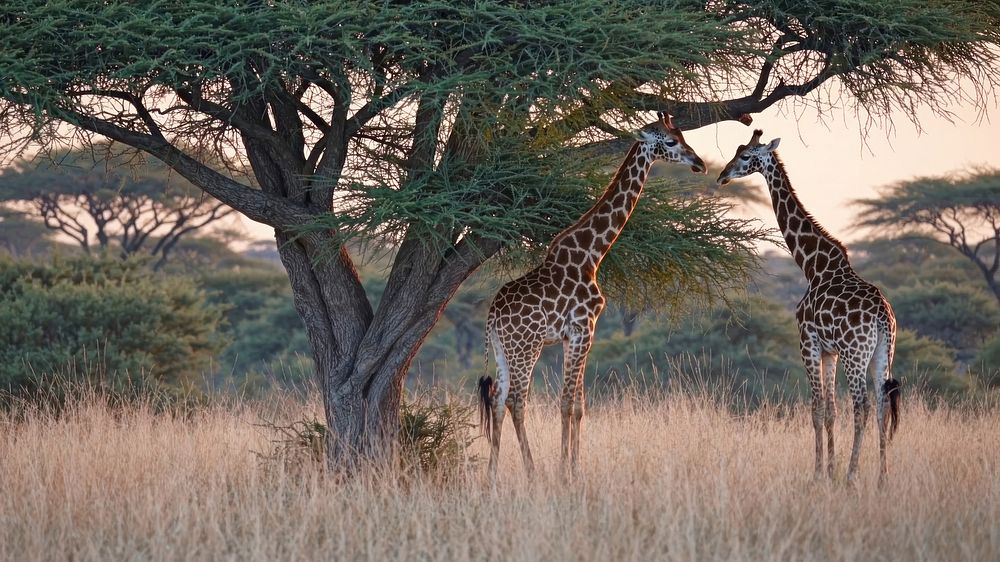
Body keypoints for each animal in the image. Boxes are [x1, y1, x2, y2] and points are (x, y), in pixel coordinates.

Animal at [478, 112, 707, 477]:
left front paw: (574, 468)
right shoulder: (584, 328)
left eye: (683, 136)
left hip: (503, 347)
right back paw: (531, 470)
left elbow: (579, 405)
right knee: (515, 399)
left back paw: (492, 476)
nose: (699, 163)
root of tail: (492, 315)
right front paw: (566, 472)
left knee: (498, 398)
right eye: (671, 141)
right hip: (526, 346)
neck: (591, 254)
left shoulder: (575, 335)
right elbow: (567, 402)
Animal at [717, 129, 901, 486]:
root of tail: (883, 317)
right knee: (882, 406)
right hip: (881, 352)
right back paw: (882, 479)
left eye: (745, 156)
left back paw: (852, 476)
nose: (722, 176)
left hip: (855, 353)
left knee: (862, 406)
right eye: (737, 150)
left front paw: (819, 474)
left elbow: (816, 409)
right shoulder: (829, 351)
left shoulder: (808, 341)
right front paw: (828, 469)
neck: (813, 266)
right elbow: (830, 411)